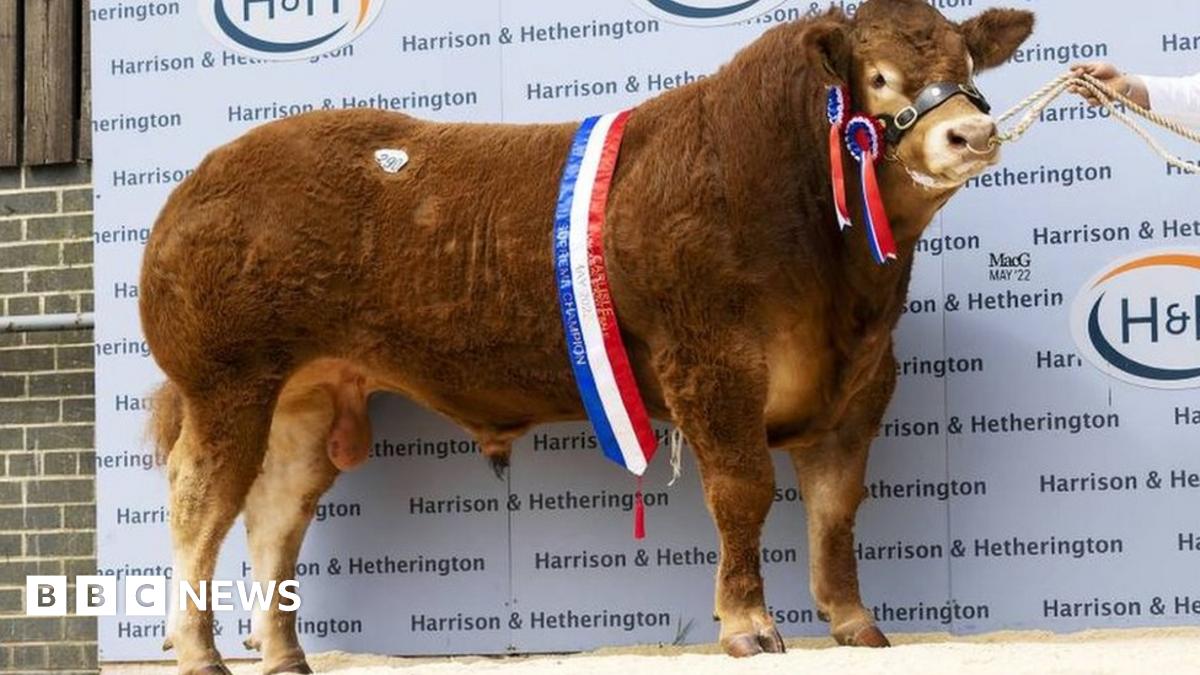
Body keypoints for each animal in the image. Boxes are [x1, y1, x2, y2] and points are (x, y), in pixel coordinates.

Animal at [141, 1, 1034, 672]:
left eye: (969, 66)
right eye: (876, 76)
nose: (971, 134)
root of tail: (202, 178)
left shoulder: (862, 381)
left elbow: (837, 508)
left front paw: (854, 623)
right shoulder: (710, 362)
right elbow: (742, 489)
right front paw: (749, 625)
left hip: (307, 398)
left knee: (273, 514)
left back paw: (284, 656)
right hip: (226, 380)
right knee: (199, 502)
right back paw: (200, 653)